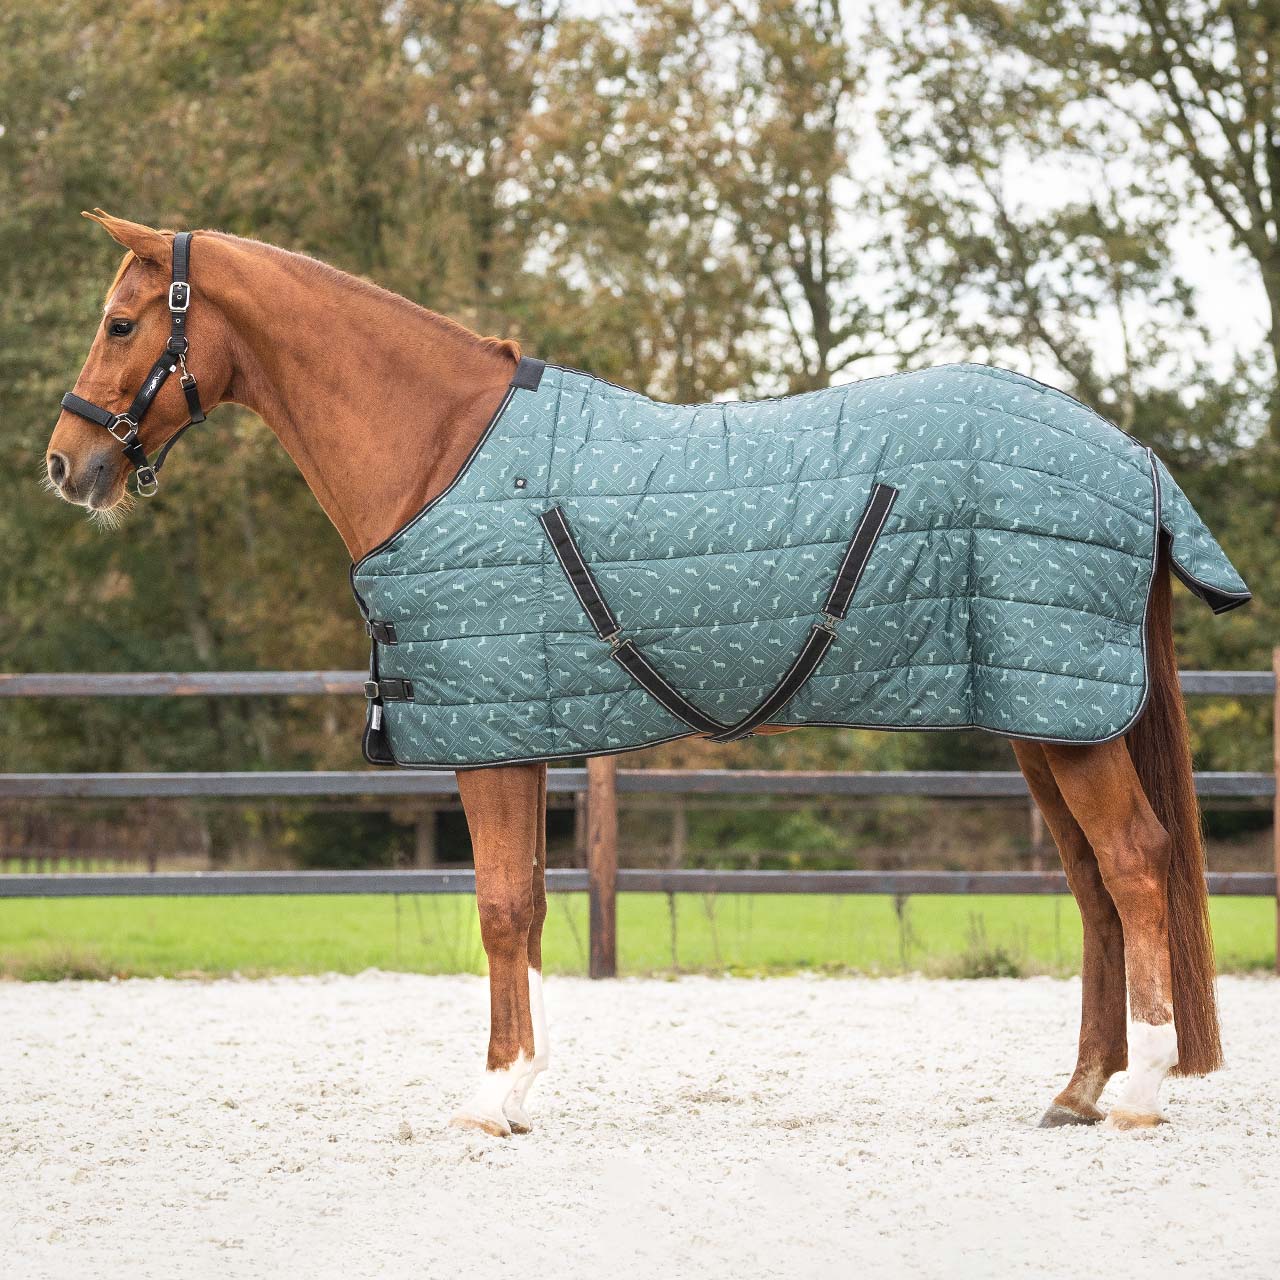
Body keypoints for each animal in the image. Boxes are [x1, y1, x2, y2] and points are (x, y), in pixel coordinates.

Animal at [46, 211, 1234, 1136]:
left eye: (120, 324)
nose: (67, 464)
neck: (439, 450)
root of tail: (1134, 457)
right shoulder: (517, 732)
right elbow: (526, 903)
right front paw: (519, 1083)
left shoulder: (489, 737)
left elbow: (496, 907)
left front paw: (490, 1097)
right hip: (1047, 717)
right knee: (1091, 885)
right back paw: (1076, 1090)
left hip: (1066, 716)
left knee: (1133, 865)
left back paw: (1135, 1094)